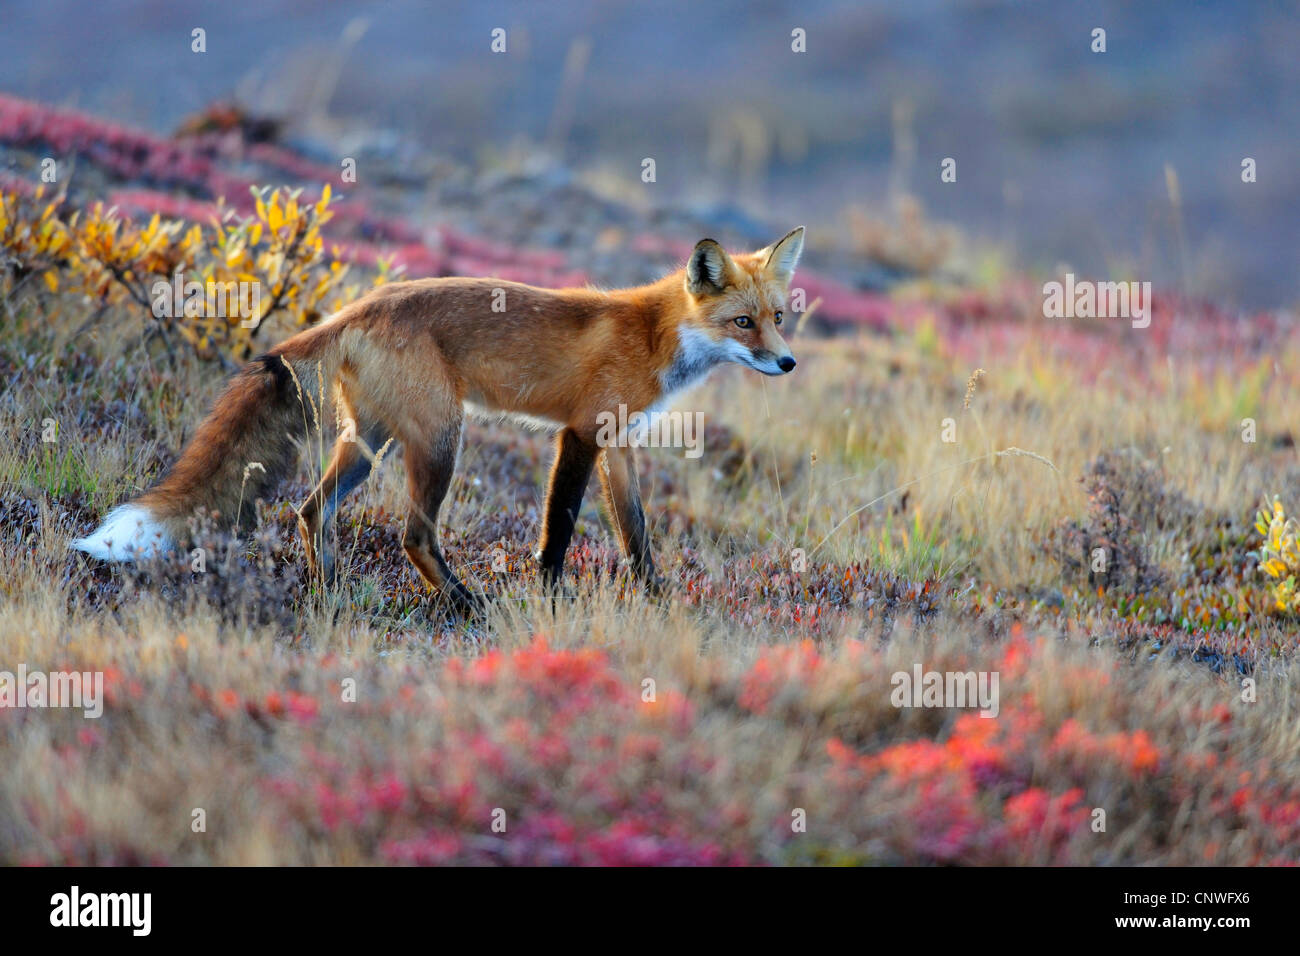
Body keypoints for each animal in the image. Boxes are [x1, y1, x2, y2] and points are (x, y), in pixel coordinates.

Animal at [71, 226, 804, 612]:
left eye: (778, 317)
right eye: (744, 323)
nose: (789, 361)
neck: (652, 336)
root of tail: (353, 309)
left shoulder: (617, 443)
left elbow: (638, 533)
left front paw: (657, 597)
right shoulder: (579, 433)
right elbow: (559, 529)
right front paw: (546, 599)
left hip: (370, 442)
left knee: (310, 510)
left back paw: (330, 594)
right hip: (441, 440)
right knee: (414, 536)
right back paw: (465, 605)